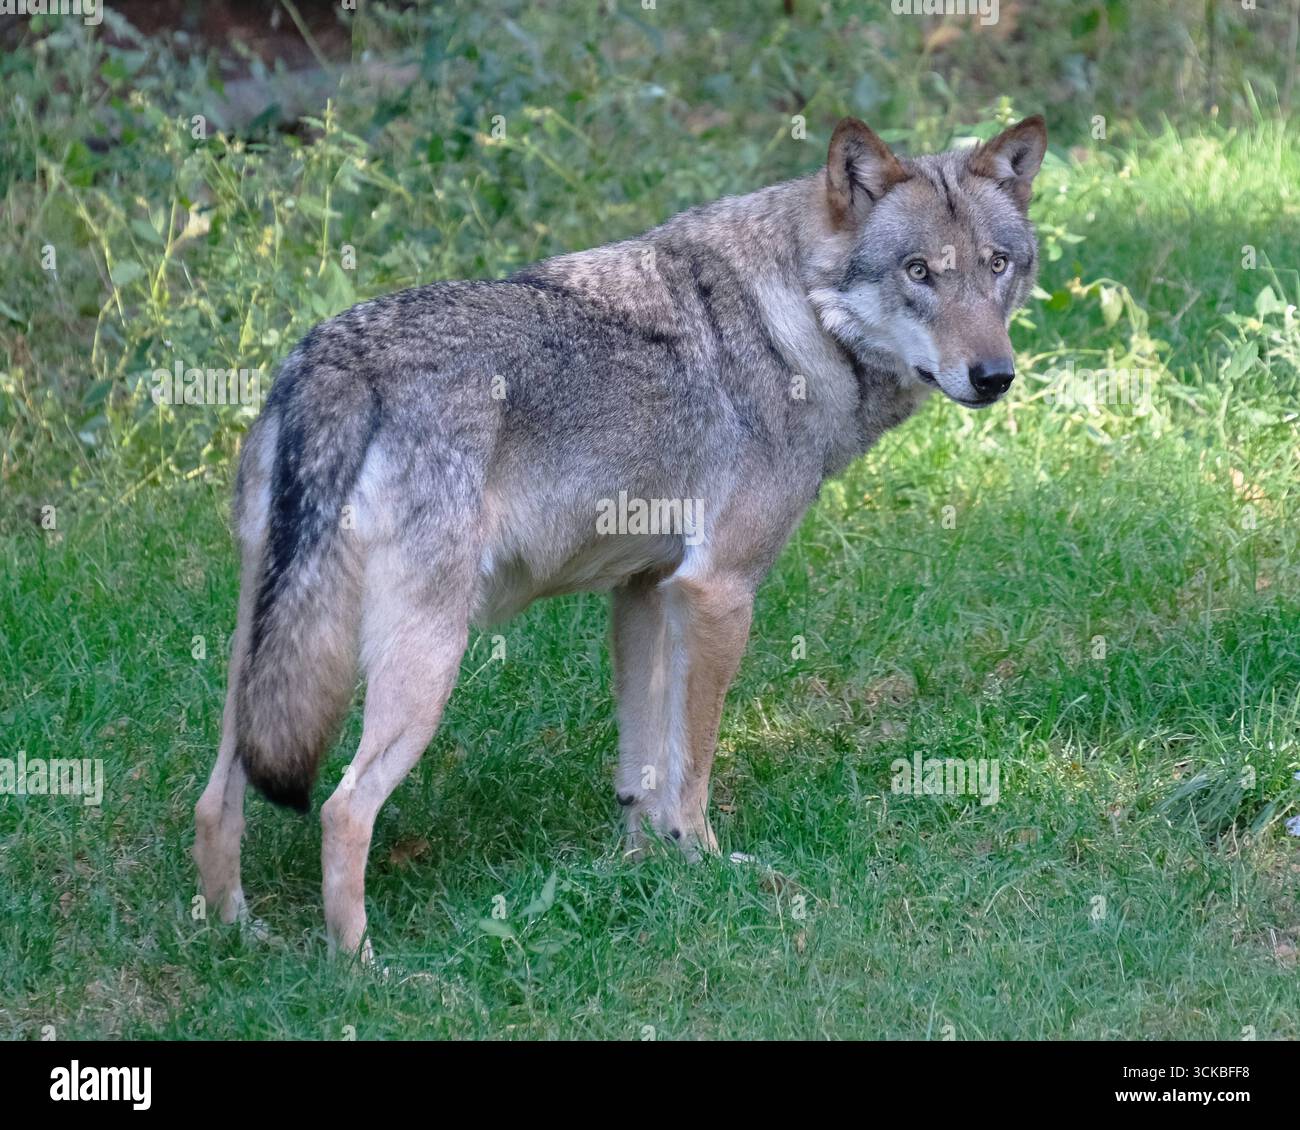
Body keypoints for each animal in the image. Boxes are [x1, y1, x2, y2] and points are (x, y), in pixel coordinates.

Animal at [194, 115, 1047, 958]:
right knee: (342, 810)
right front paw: (710, 865)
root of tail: (333, 365)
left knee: (215, 800)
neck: (796, 321)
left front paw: (648, 871)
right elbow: (692, 763)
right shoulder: (717, 592)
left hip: (260, 659)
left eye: (997, 266)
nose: (994, 376)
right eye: (918, 272)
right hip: (427, 661)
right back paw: (369, 971)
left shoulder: (643, 592)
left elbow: (643, 769)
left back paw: (236, 936)